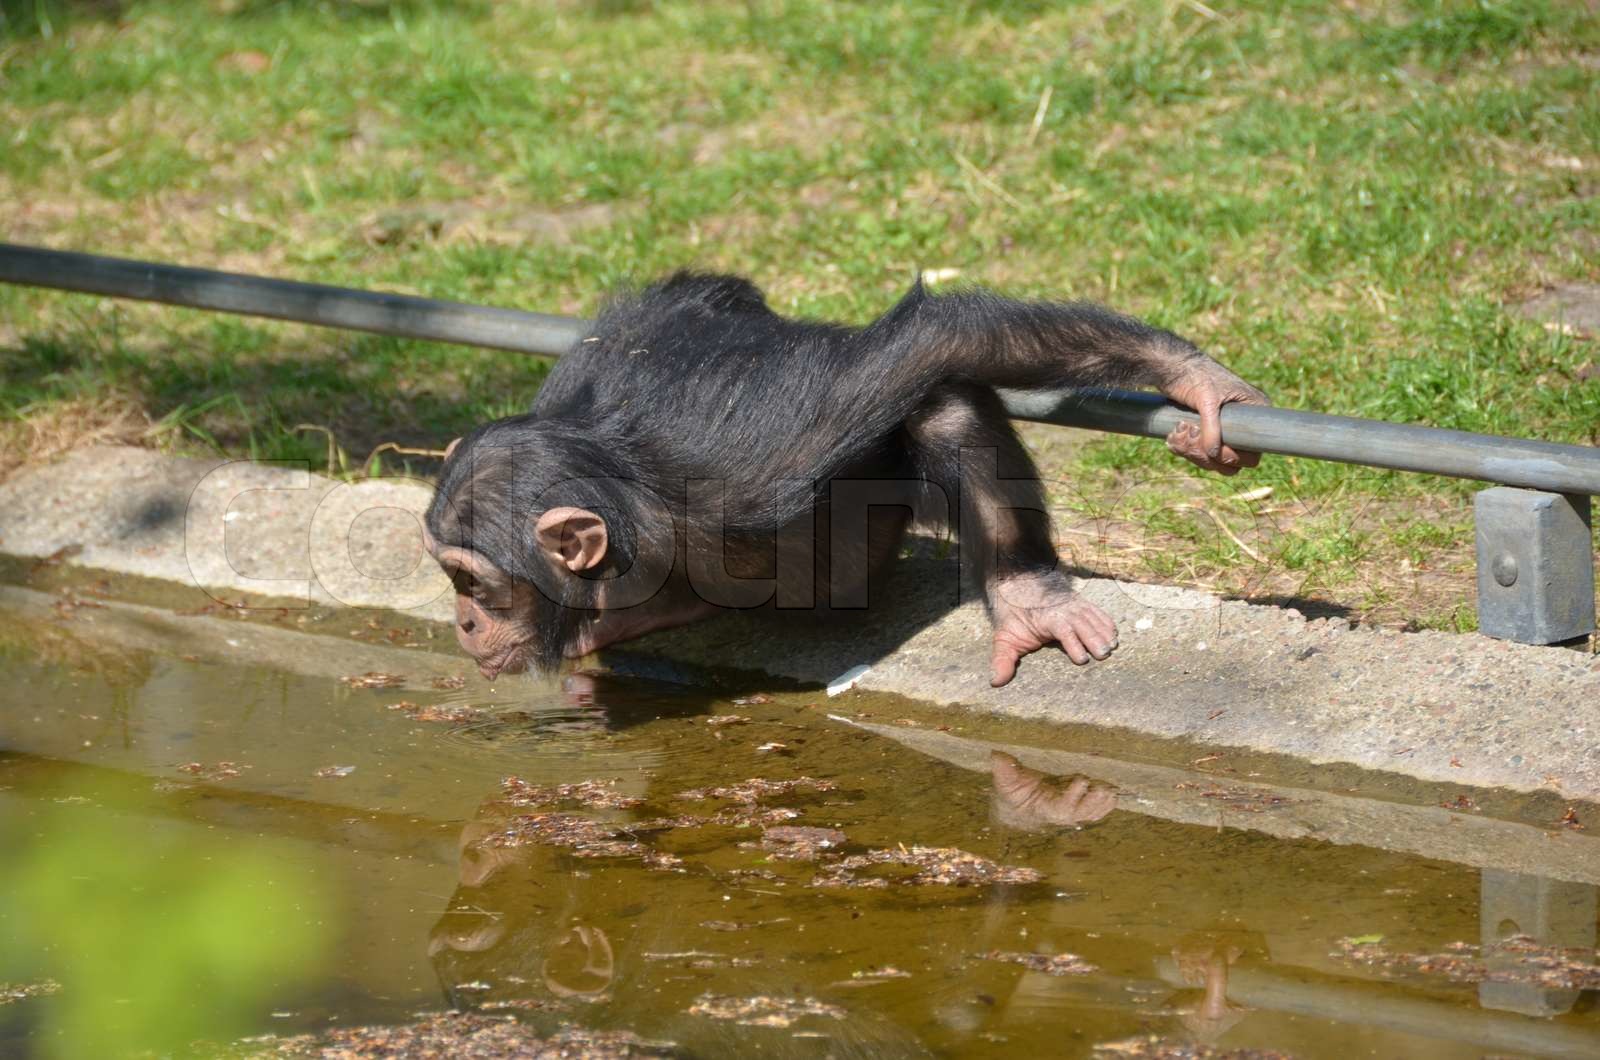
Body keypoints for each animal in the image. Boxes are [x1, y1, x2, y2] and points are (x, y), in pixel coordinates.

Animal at [424, 273, 1267, 687]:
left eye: (474, 584)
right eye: (453, 581)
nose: (460, 621)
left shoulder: (756, 457)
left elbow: (930, 342)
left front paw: (1192, 377)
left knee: (942, 400)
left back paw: (1029, 598)